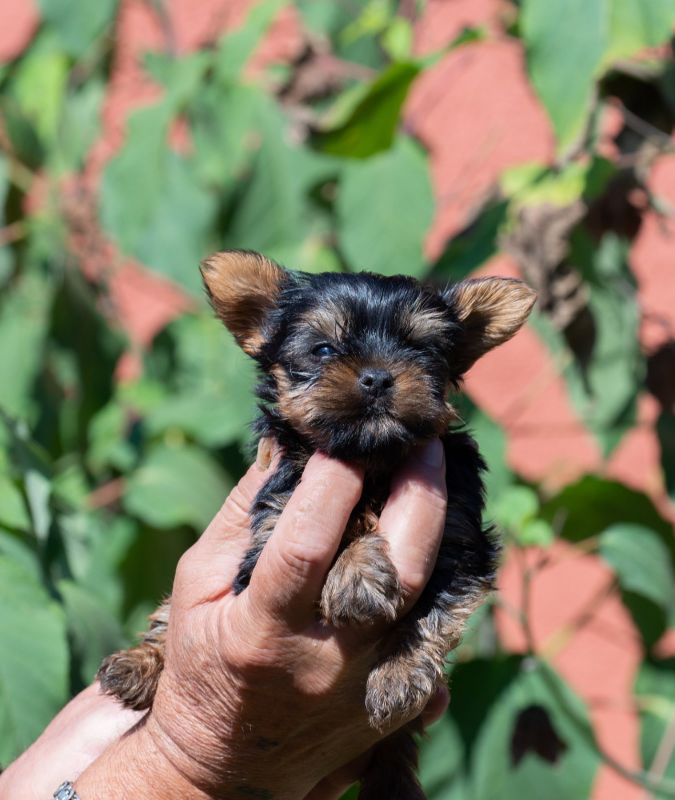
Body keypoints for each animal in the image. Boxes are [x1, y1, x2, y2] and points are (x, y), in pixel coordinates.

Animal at [100, 252, 536, 800]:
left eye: (422, 351)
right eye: (324, 349)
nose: (377, 377)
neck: (372, 461)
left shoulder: (461, 541)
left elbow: (434, 607)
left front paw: (397, 675)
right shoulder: (279, 515)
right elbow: (345, 528)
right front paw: (356, 574)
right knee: (163, 621)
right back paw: (136, 665)